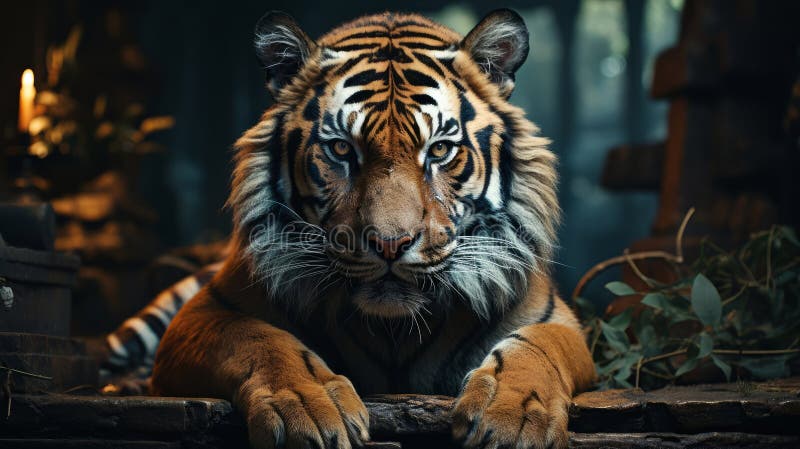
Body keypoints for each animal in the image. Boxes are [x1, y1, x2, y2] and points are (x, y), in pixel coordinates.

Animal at [151, 9, 595, 449]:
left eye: (439, 149)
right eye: (341, 149)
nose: (390, 243)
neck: (393, 329)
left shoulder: (557, 321)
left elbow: (538, 346)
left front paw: (514, 418)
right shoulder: (206, 313)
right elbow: (260, 340)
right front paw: (308, 406)